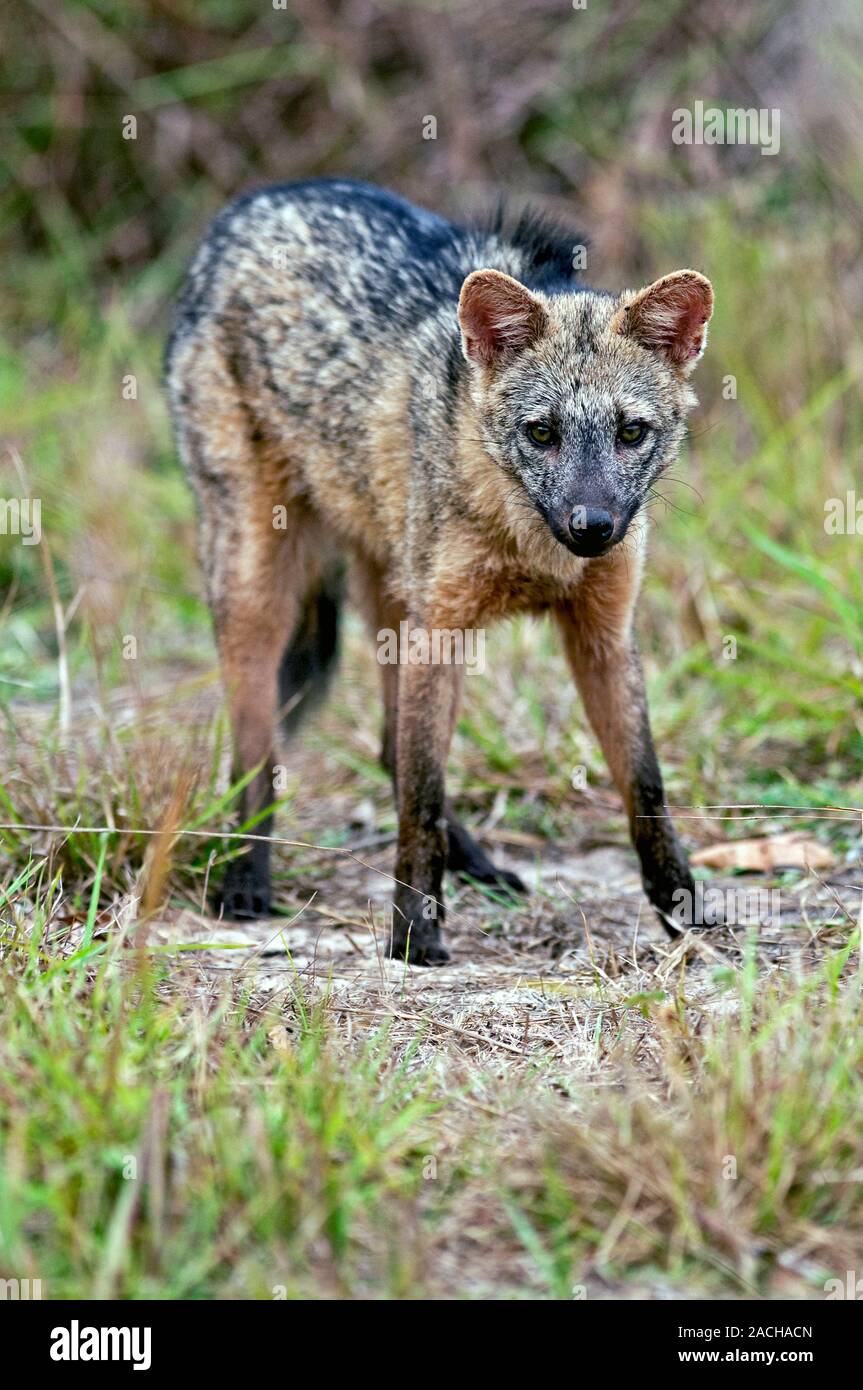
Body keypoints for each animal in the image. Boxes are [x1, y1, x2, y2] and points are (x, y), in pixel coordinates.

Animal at [166, 178, 714, 965]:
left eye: (630, 432)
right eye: (541, 433)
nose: (593, 527)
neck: (532, 546)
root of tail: (258, 200)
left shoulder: (603, 635)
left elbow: (644, 786)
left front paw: (680, 905)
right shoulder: (441, 631)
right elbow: (420, 800)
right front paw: (413, 933)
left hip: (391, 599)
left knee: (387, 748)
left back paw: (479, 867)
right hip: (260, 587)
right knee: (257, 748)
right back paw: (245, 877)